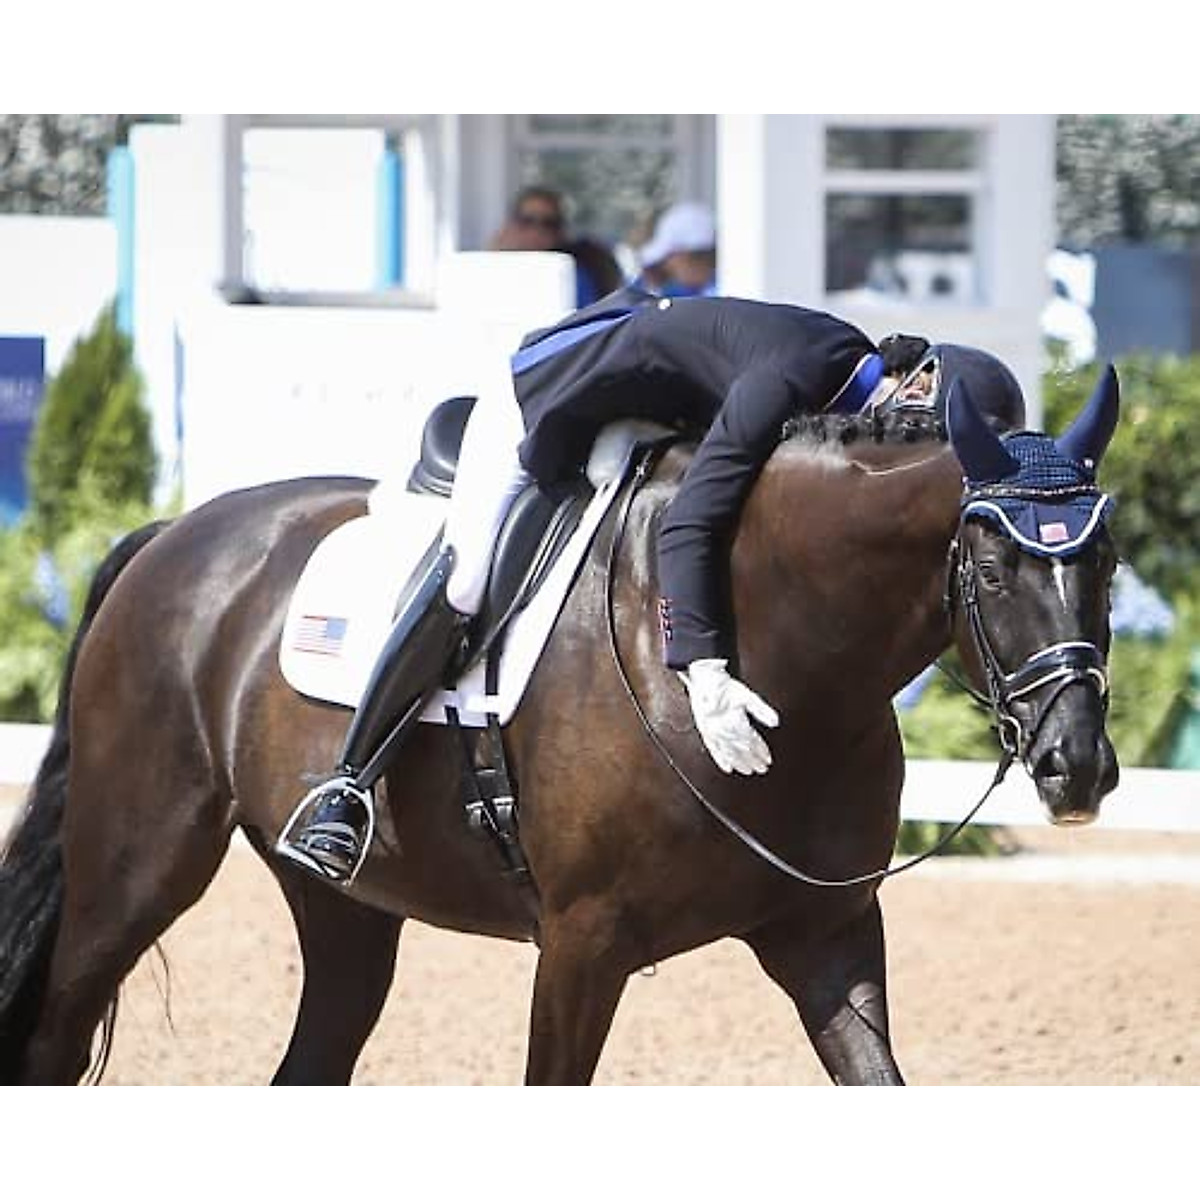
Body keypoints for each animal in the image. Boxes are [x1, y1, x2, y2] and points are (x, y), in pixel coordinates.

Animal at [0, 371, 1121, 1085]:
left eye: (1105, 566)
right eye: (994, 568)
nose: (1076, 768)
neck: (782, 657)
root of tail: (172, 535)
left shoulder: (827, 935)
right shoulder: (583, 945)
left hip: (346, 905)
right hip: (138, 866)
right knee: (53, 1040)